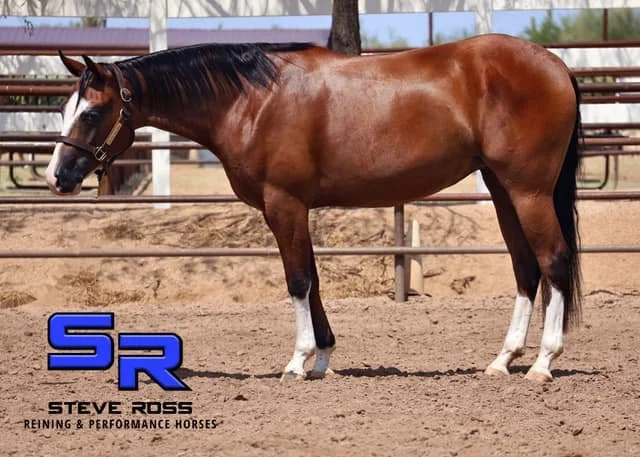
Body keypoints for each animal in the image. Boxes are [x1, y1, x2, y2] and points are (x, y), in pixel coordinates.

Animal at [46, 34, 582, 383]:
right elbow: (314, 278)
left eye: (92, 113)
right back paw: (503, 360)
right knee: (525, 267)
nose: (57, 177)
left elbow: (298, 279)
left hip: (528, 190)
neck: (252, 100)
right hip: (501, 188)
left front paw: (297, 362)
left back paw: (542, 363)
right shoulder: (294, 208)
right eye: (64, 110)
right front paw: (322, 359)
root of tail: (555, 65)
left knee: (554, 261)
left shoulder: (283, 203)